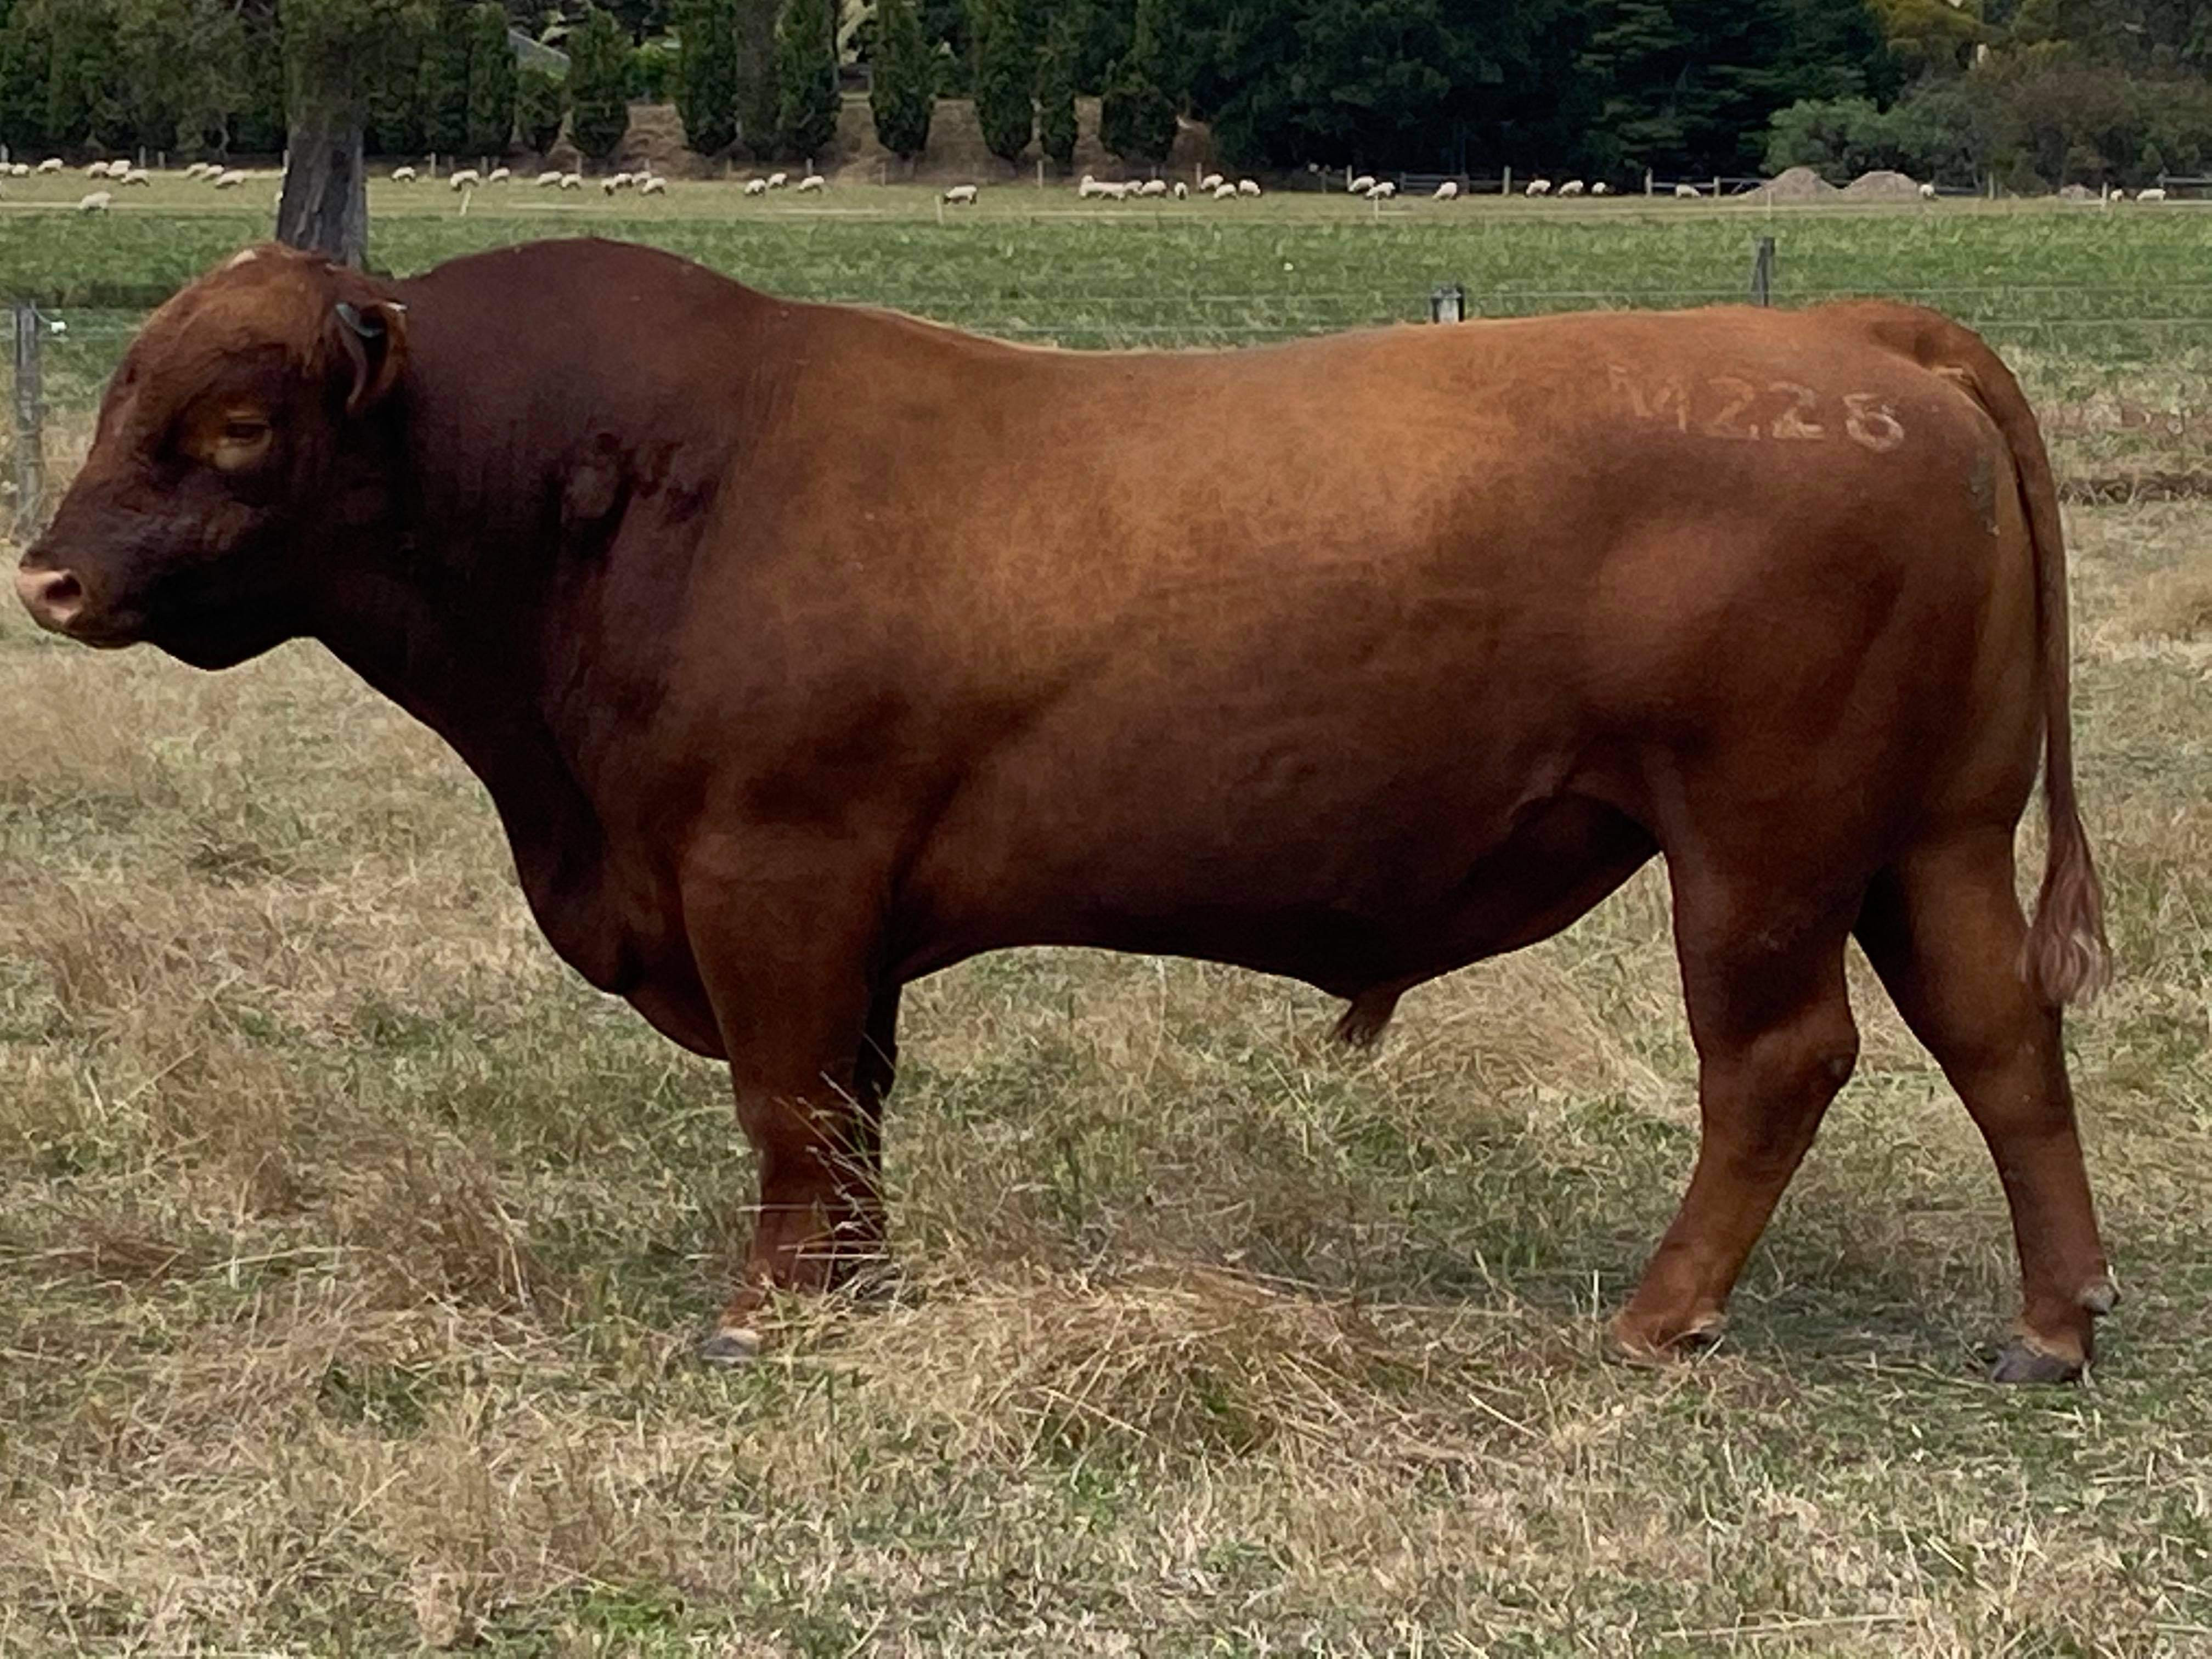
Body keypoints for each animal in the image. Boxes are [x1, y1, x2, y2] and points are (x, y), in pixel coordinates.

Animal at [15, 239, 2115, 1382]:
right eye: (120, 395)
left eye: (233, 428)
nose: (46, 578)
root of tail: (1852, 337)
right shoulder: (831, 908)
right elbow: (845, 1106)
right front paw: (855, 1287)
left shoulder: (769, 871)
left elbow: (786, 1101)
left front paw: (765, 1308)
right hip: (1925, 839)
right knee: (2002, 1038)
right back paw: (2055, 1319)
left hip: (1758, 850)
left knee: (1780, 1060)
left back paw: (1660, 1318)